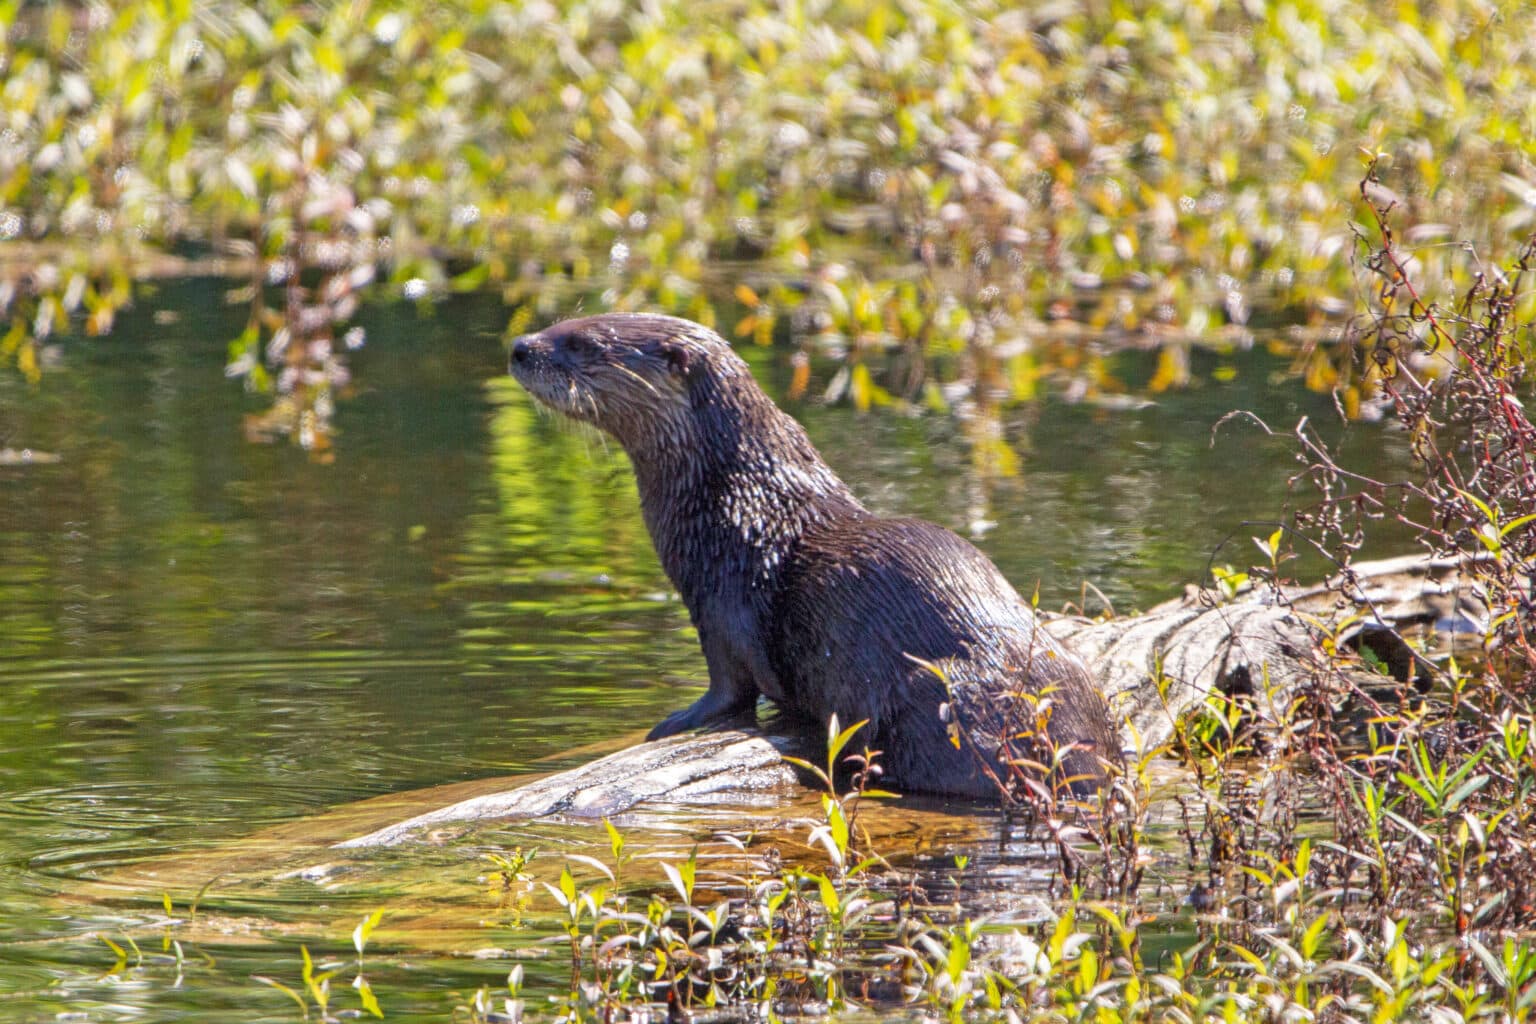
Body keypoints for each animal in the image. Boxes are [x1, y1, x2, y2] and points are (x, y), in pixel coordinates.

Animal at [509, 313, 1121, 799]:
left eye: (583, 342)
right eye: (564, 319)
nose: (519, 346)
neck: (730, 496)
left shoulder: (723, 600)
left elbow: (731, 688)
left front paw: (678, 720)